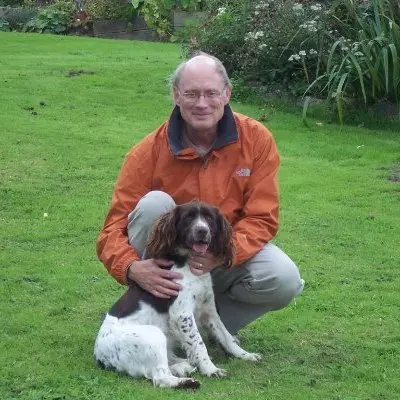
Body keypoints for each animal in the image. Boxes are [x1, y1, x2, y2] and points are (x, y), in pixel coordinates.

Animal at [94, 202, 262, 390]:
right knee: (160, 377)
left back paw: (184, 366)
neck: (187, 262)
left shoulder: (209, 310)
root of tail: (100, 354)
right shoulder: (182, 314)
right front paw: (211, 370)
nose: (202, 230)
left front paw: (245, 355)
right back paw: (187, 381)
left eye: (209, 218)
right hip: (154, 335)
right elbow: (198, 343)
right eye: (188, 217)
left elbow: (226, 337)